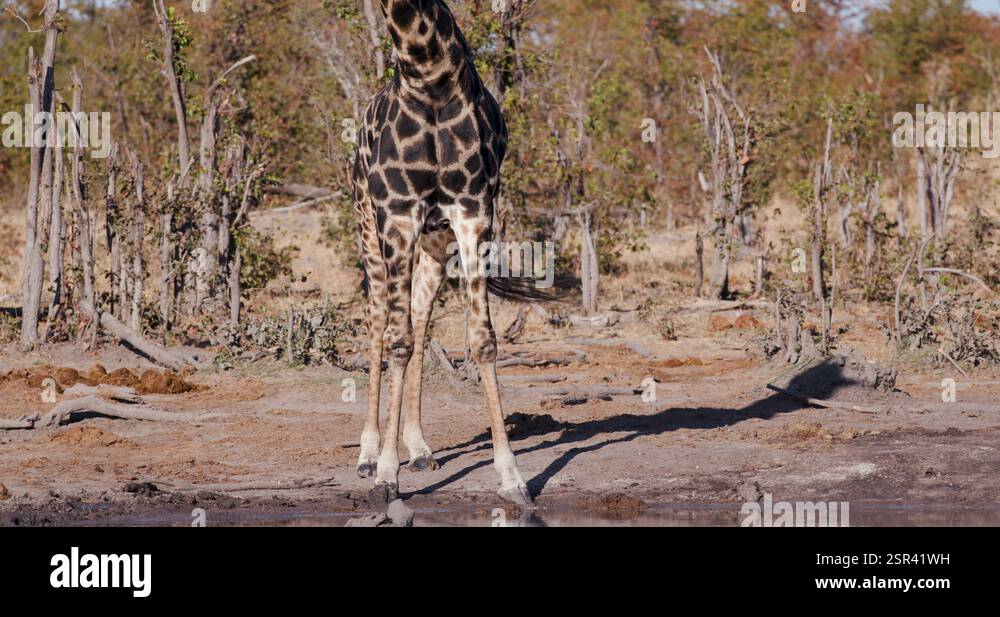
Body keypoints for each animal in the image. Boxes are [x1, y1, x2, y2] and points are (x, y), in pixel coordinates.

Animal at [351, 0, 533, 507]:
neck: (428, 74)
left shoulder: (473, 211)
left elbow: (483, 341)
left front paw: (512, 477)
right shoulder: (397, 213)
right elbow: (395, 340)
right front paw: (385, 475)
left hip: (435, 244)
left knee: (418, 317)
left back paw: (418, 447)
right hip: (367, 226)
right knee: (378, 323)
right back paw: (369, 453)